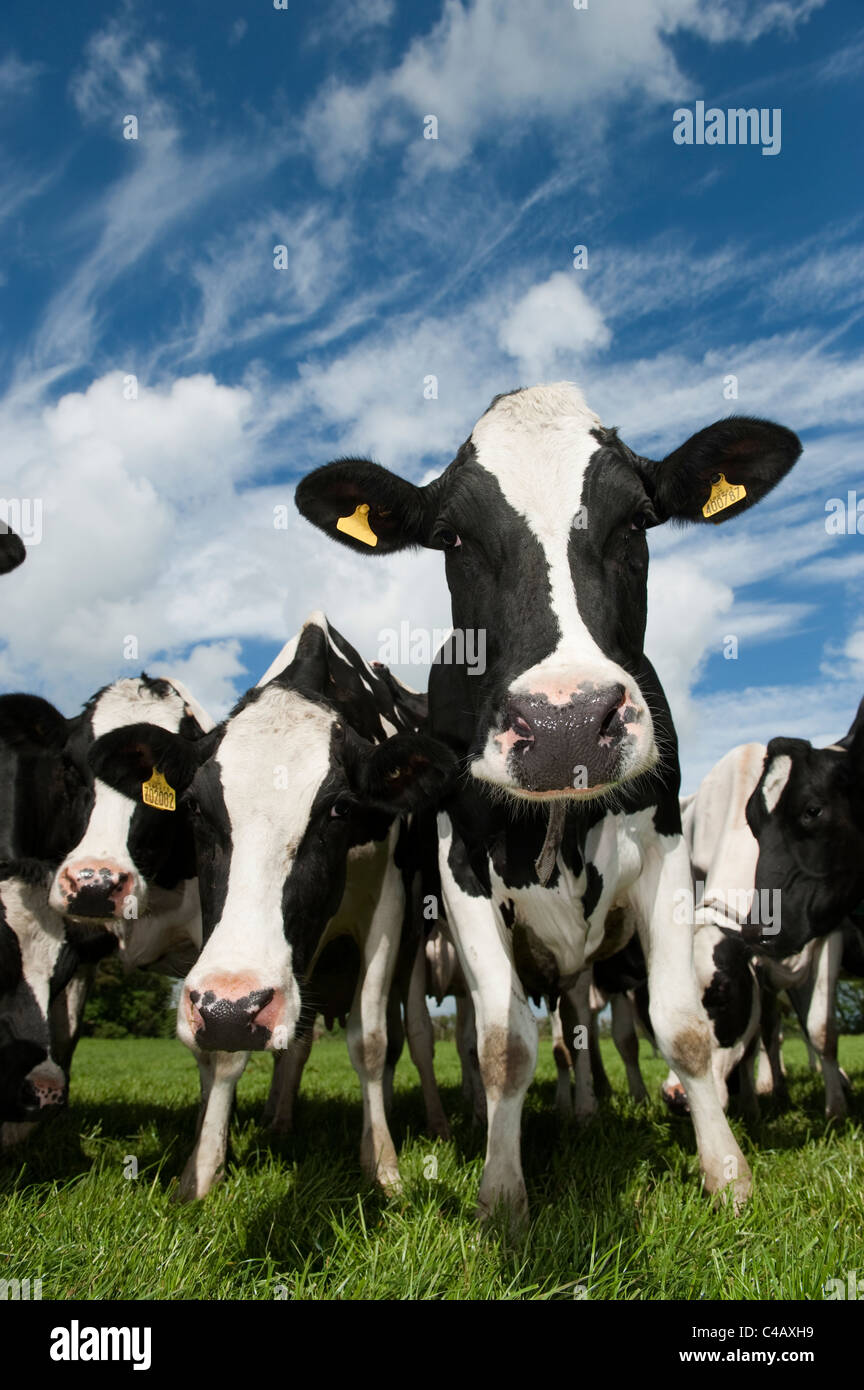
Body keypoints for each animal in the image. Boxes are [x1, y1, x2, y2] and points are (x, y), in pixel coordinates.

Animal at [89, 614, 457, 1199]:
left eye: (340, 808)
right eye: (194, 807)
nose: (232, 1009)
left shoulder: (387, 906)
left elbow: (372, 1041)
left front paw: (383, 1165)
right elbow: (228, 1054)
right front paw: (201, 1172)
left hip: (412, 946)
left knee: (417, 1035)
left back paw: (436, 1121)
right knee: (301, 1041)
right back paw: (280, 1119)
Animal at [296, 381, 801, 1217]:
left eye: (637, 520)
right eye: (452, 540)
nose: (566, 725)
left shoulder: (664, 845)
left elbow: (682, 1025)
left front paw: (728, 1176)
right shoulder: (459, 861)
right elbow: (503, 1040)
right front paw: (503, 1193)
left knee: (578, 1017)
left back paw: (588, 1111)